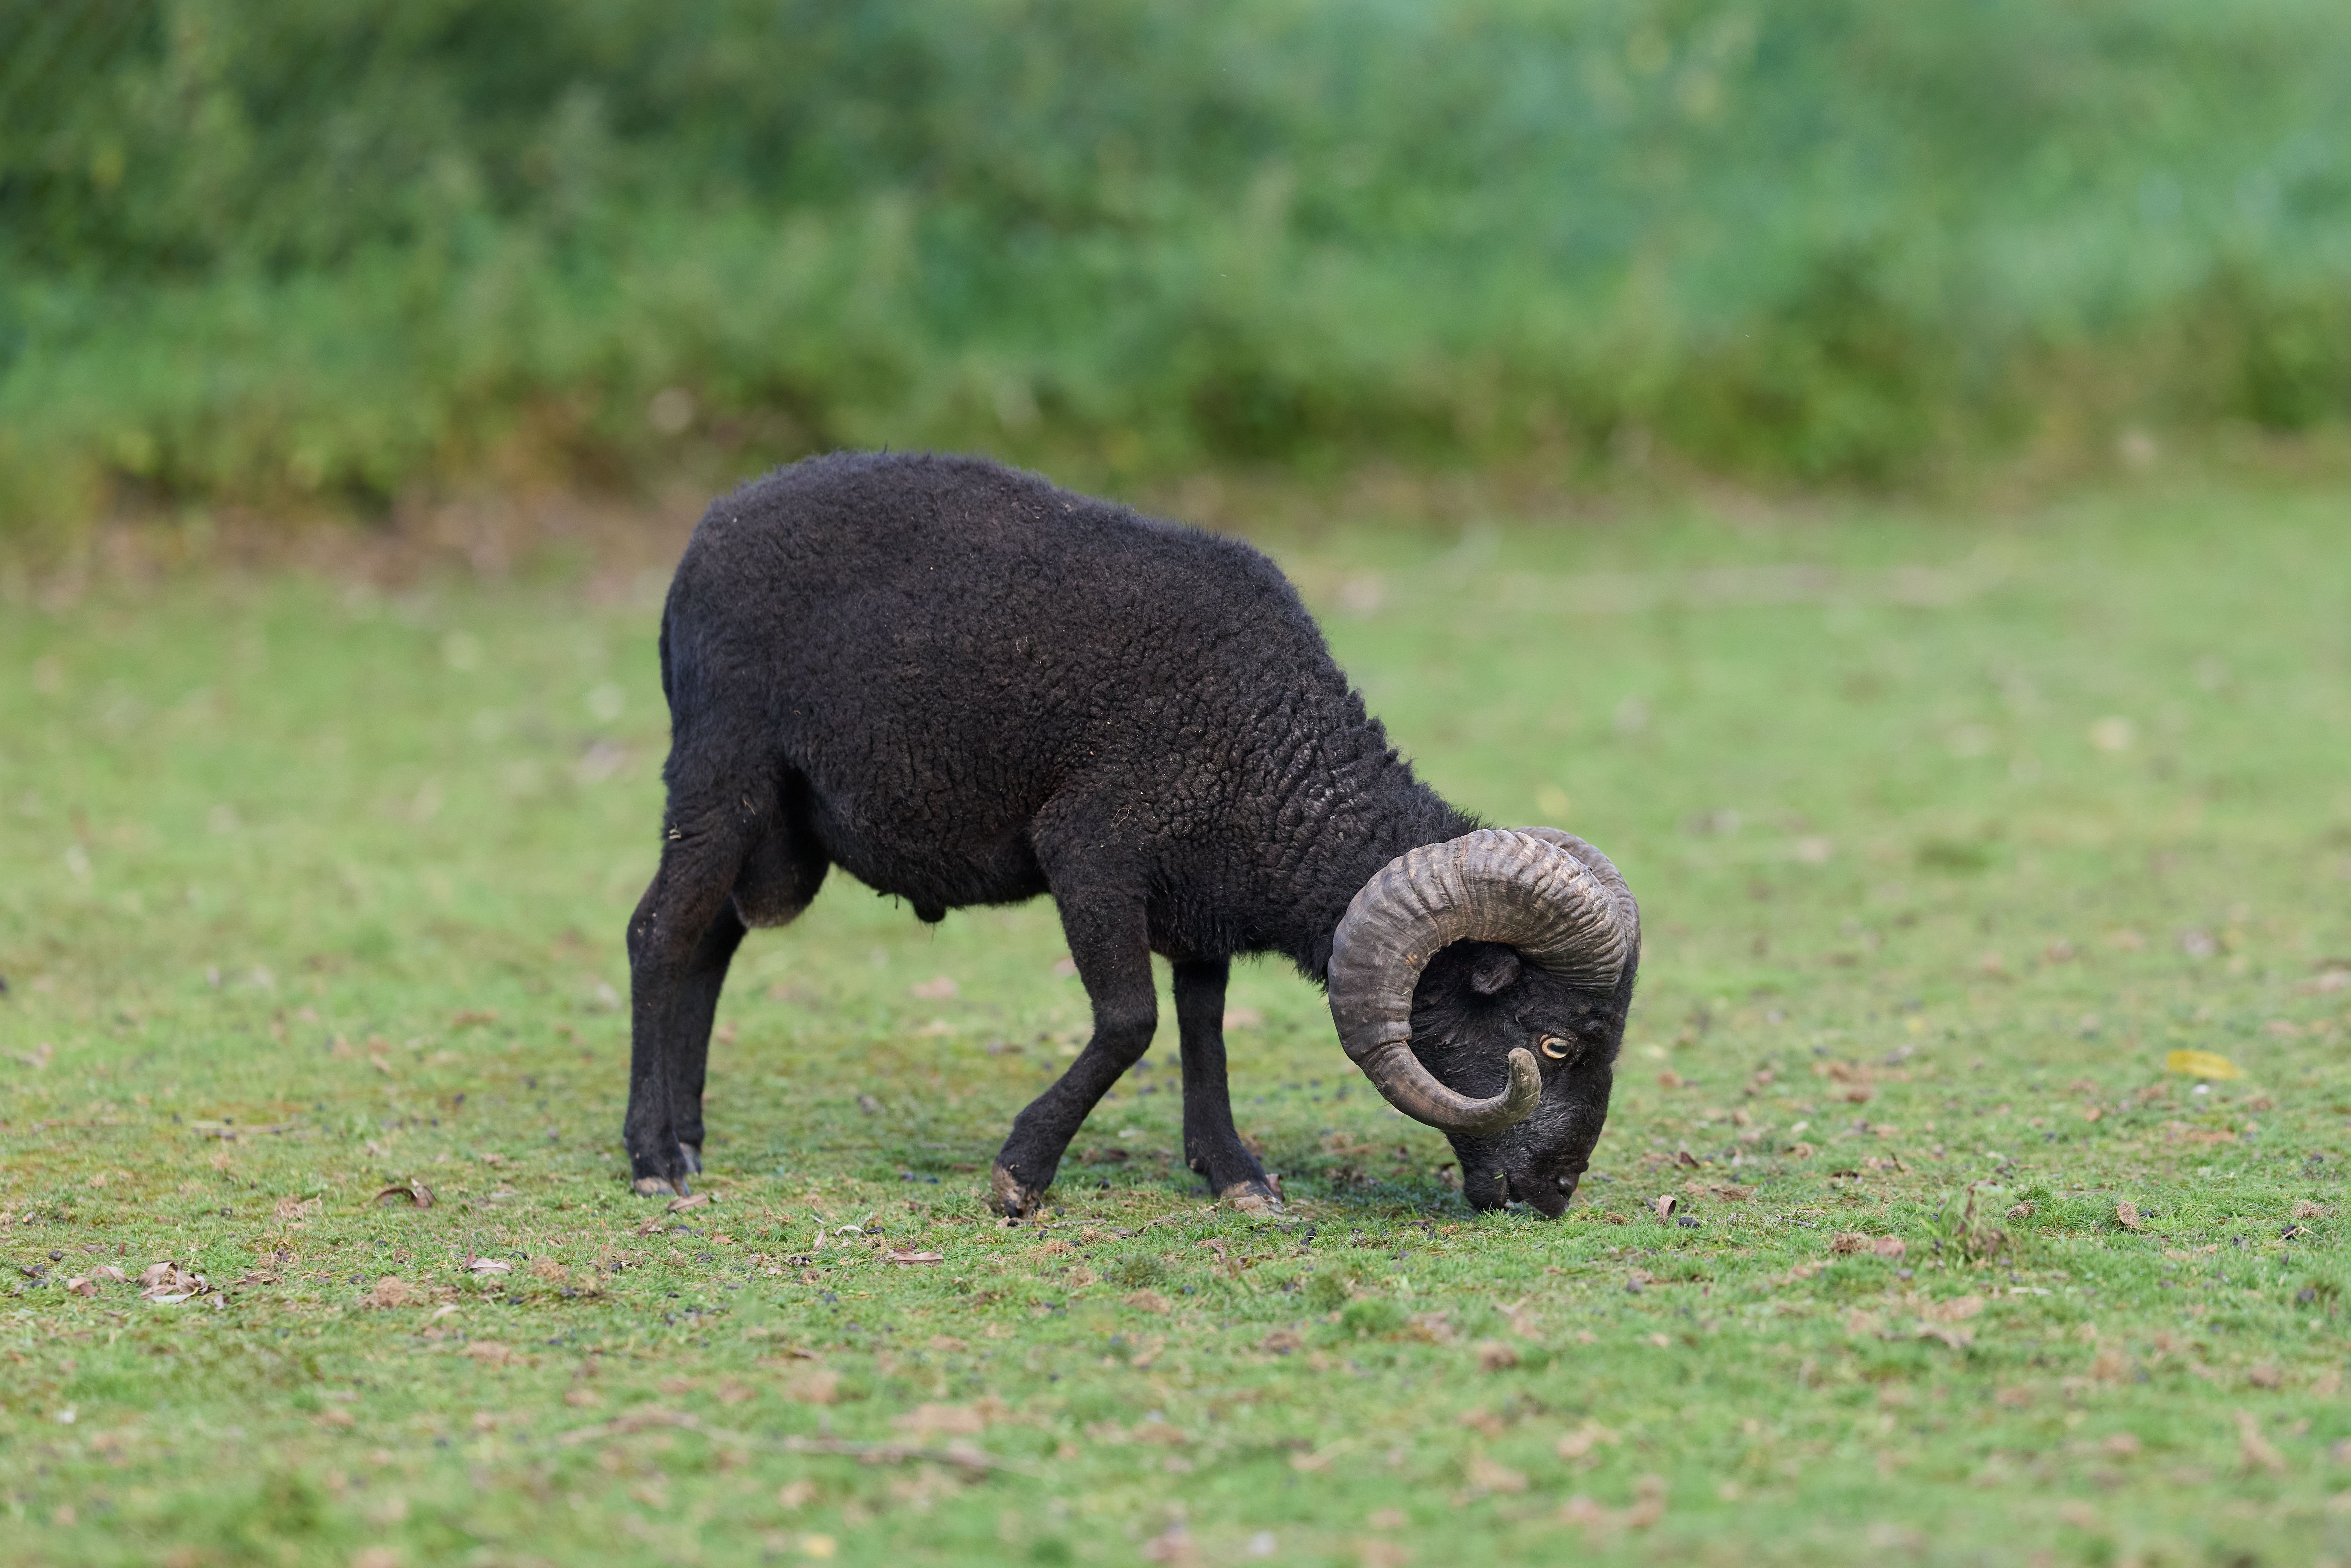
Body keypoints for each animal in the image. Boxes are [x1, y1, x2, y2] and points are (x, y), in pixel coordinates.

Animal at [625, 451, 1640, 1217]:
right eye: (1554, 1044)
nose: (1554, 1196)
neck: (1268, 747)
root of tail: (706, 534)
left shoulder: (1200, 902)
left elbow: (1204, 1028)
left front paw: (1235, 1174)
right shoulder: (1091, 855)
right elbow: (1130, 1021)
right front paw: (1020, 1175)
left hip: (779, 832)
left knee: (710, 943)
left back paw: (690, 1137)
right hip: (721, 769)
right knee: (659, 935)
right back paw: (651, 1157)